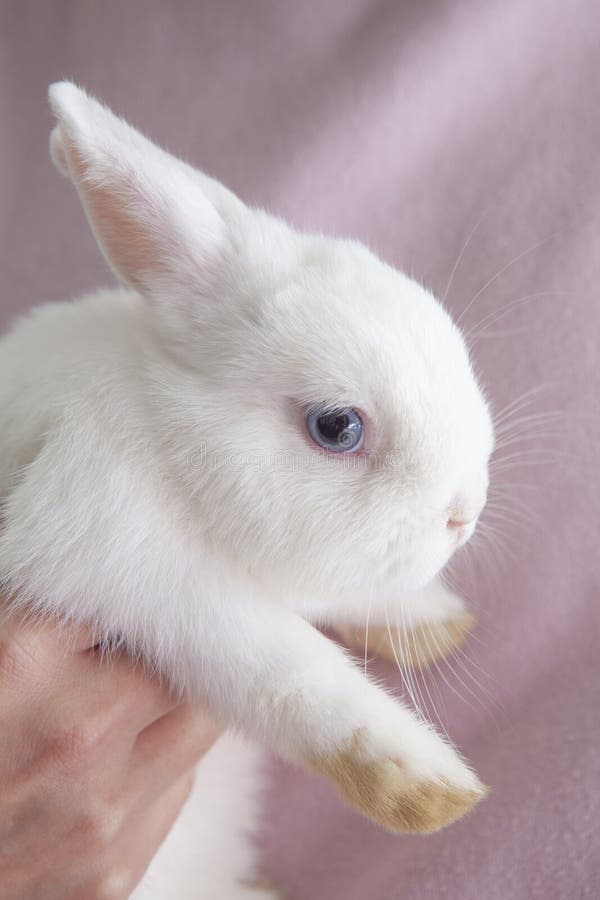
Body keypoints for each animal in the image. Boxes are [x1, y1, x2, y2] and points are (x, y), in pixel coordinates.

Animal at [0, 82, 494, 899]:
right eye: (336, 426)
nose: (464, 514)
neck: (162, 427)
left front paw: (436, 621)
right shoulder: (126, 566)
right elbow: (284, 667)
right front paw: (426, 783)